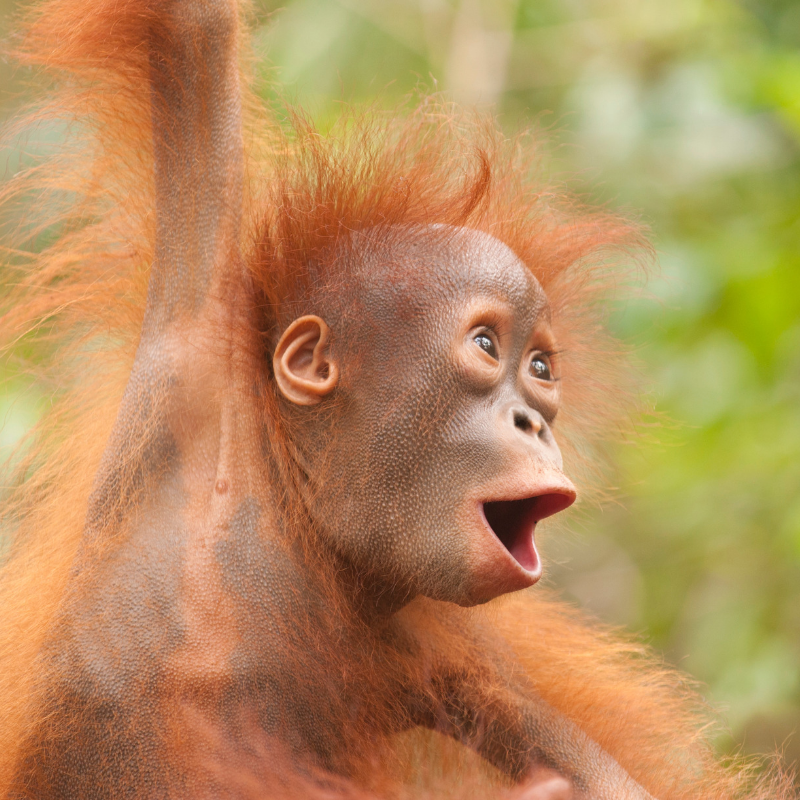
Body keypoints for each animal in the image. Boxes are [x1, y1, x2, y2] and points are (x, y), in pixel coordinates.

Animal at [0, 0, 795, 798]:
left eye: (540, 367)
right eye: (486, 346)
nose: (533, 422)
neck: (297, 516)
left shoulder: (435, 646)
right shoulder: (200, 353)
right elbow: (196, 36)